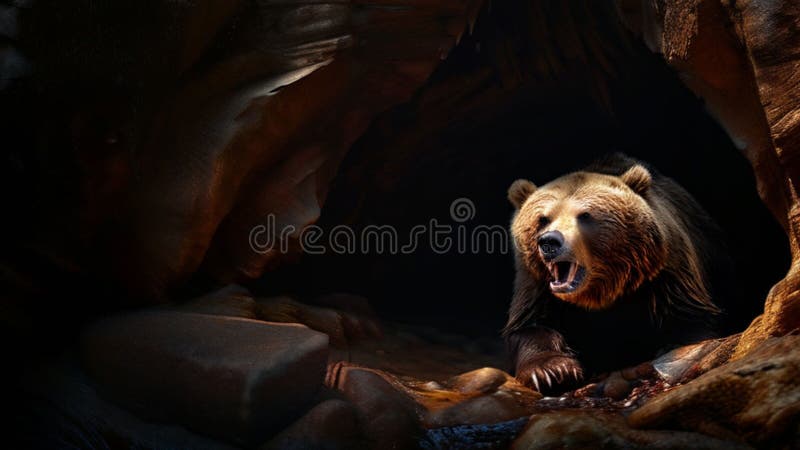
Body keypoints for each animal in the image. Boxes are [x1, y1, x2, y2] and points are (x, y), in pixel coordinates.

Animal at [504, 153, 731, 394]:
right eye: (543, 218)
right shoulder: (536, 285)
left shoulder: (666, 273)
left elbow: (692, 319)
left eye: (584, 215)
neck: (603, 291)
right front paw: (551, 371)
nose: (550, 242)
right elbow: (530, 328)